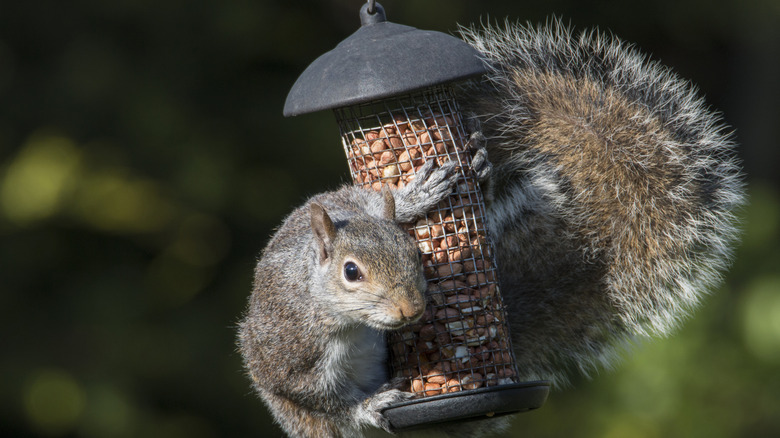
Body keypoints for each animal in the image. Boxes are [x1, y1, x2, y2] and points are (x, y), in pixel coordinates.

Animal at [238, 19, 745, 438]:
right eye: (350, 272)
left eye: (414, 253)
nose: (411, 309)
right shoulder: (293, 354)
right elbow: (325, 400)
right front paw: (370, 406)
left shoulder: (349, 202)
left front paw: (417, 195)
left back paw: (478, 170)